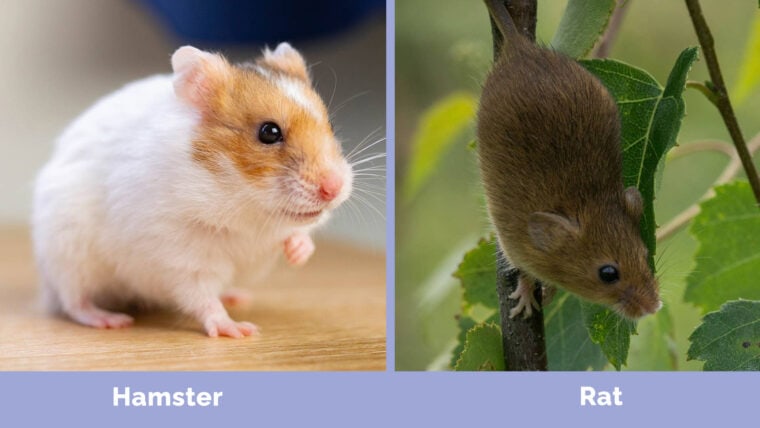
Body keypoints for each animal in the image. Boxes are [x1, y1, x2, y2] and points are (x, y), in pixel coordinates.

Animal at [32, 43, 353, 337]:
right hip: (68, 254)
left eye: (331, 125)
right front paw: (239, 331)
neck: (241, 205)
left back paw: (237, 297)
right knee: (73, 301)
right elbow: (201, 296)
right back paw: (111, 320)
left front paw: (298, 252)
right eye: (269, 132)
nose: (334, 188)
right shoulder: (180, 255)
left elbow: (297, 232)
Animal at [476, 1, 660, 320]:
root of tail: (520, 49)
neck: (586, 204)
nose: (654, 307)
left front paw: (547, 293)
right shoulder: (517, 247)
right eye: (608, 273)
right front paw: (526, 301)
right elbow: (524, 275)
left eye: (645, 254)